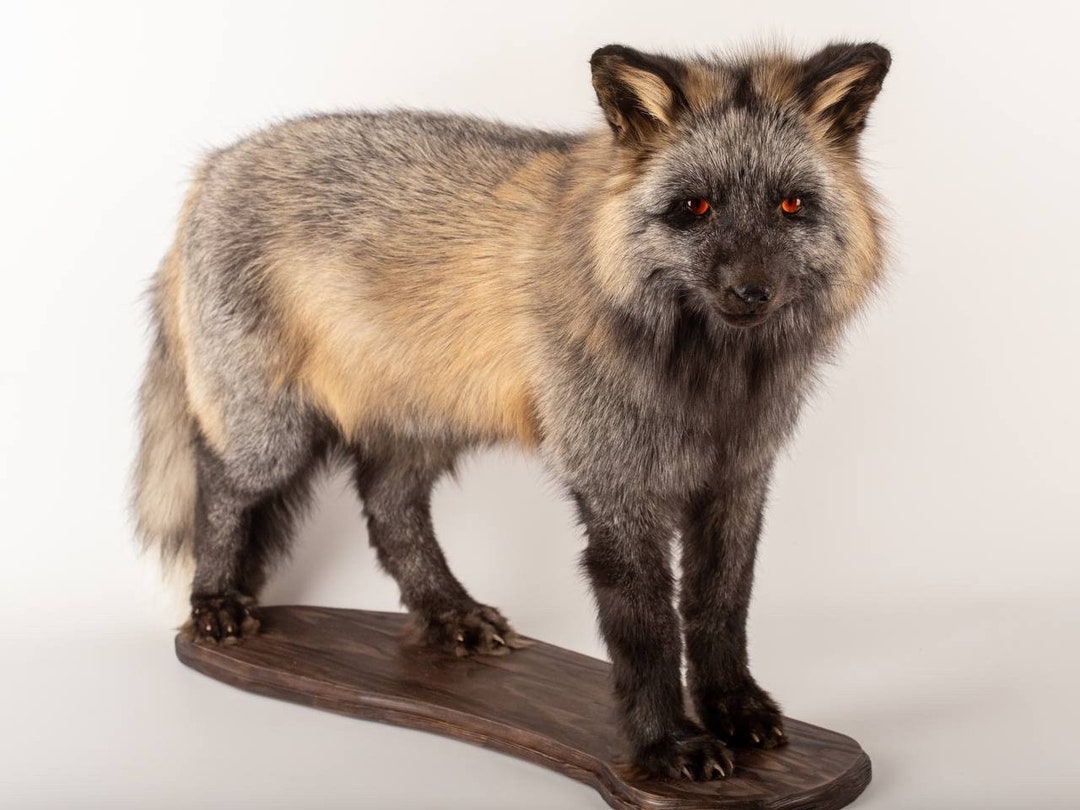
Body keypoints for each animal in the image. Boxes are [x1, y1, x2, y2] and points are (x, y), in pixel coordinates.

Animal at [133, 41, 890, 781]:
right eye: (695, 208)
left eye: (790, 205)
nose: (750, 292)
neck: (707, 381)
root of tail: (215, 164)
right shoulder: (615, 484)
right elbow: (648, 626)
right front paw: (668, 745)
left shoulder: (738, 479)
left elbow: (721, 608)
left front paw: (733, 708)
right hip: (272, 436)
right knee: (221, 489)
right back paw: (215, 605)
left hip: (420, 431)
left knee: (389, 514)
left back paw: (451, 615)